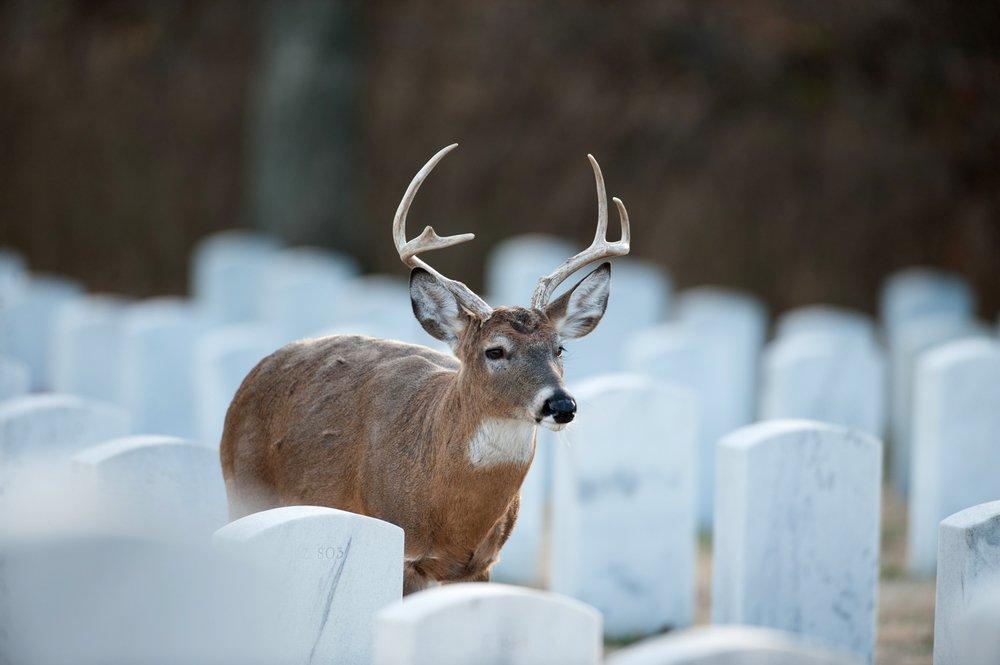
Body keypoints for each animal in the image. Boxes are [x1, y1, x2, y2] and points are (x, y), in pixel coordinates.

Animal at [222, 145, 628, 592]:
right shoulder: (403, 552)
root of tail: (249, 381)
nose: (561, 405)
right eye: (495, 351)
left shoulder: (480, 565)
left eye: (559, 348)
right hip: (241, 493)